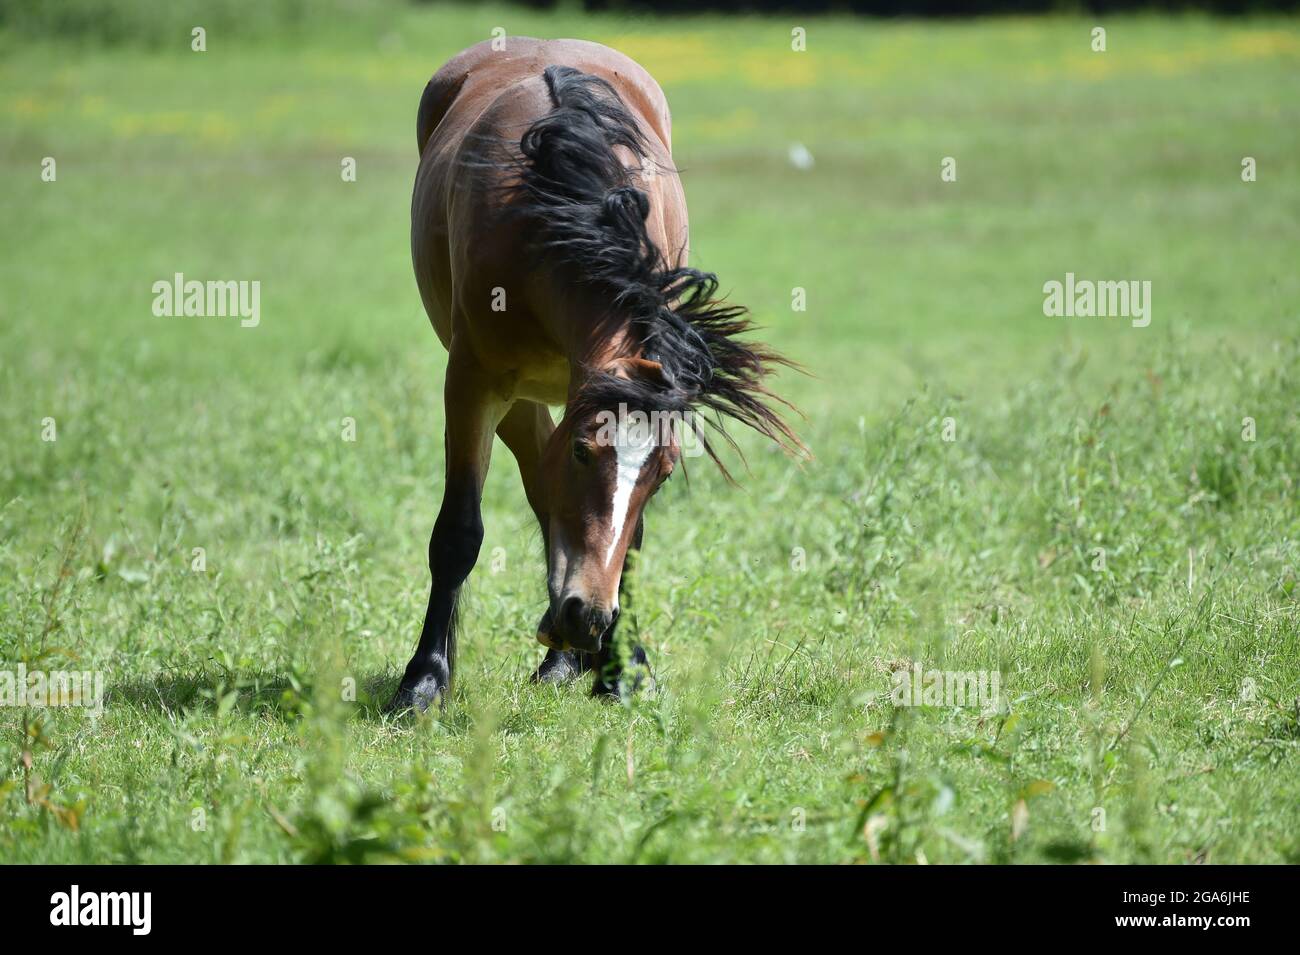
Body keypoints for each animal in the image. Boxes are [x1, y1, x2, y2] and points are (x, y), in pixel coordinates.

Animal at [391, 37, 801, 711]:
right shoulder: (475, 384)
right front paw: (423, 680)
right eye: (586, 452)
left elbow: (627, 540)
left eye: (664, 473)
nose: (587, 618)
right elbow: (458, 533)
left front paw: (623, 667)